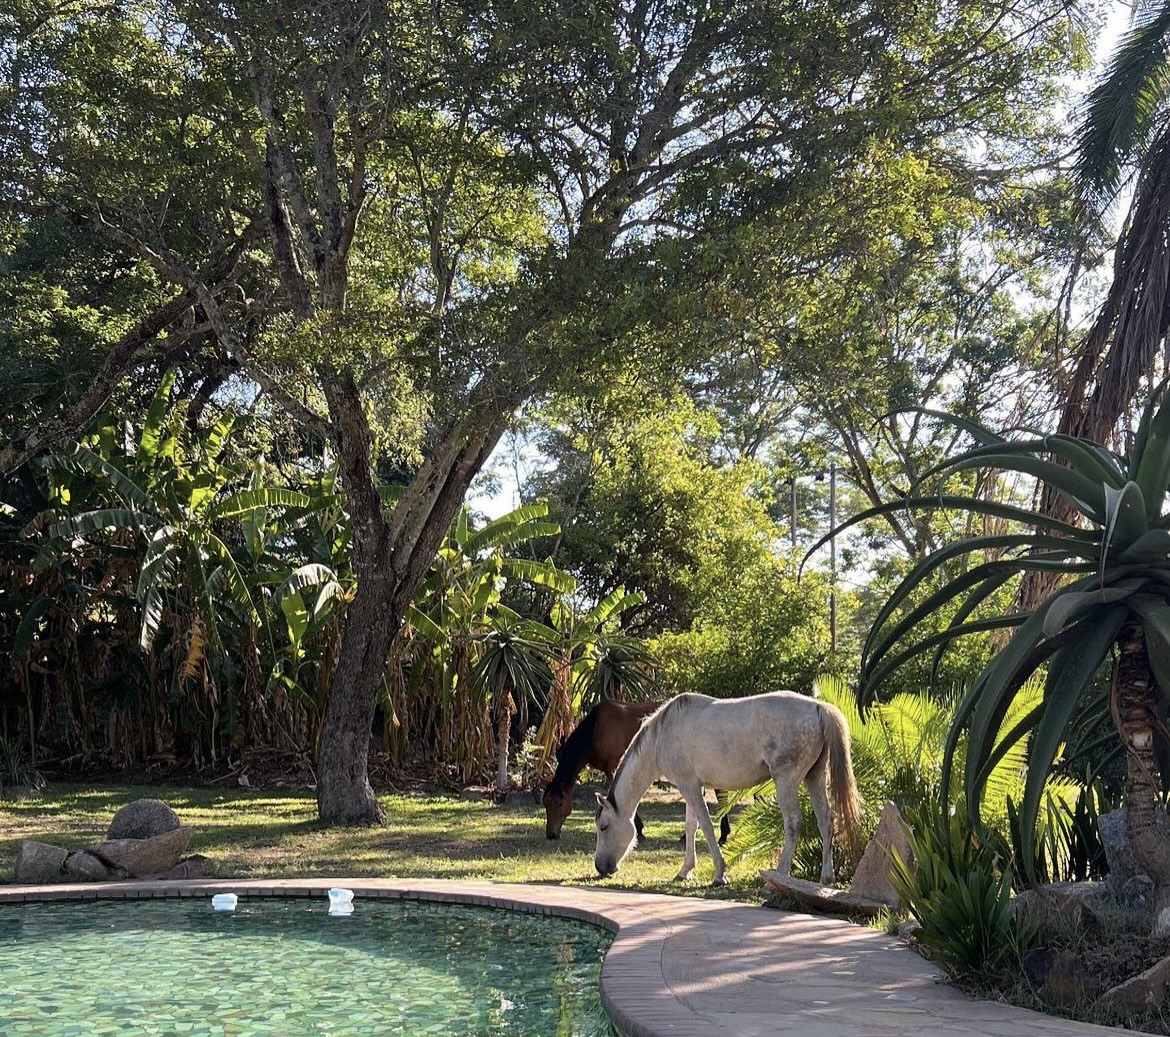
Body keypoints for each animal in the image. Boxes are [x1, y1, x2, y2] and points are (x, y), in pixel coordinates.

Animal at [542, 700, 731, 844]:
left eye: (560, 803)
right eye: (545, 803)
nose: (551, 834)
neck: (595, 730)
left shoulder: (615, 766)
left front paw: (638, 830)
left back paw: (721, 834)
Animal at [593, 691, 861, 886]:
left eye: (604, 826)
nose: (600, 867)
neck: (662, 735)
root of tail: (818, 707)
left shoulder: (688, 786)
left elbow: (706, 826)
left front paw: (720, 873)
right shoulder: (694, 787)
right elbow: (691, 827)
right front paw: (685, 871)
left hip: (787, 781)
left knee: (794, 824)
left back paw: (780, 875)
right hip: (814, 777)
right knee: (826, 821)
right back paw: (826, 878)